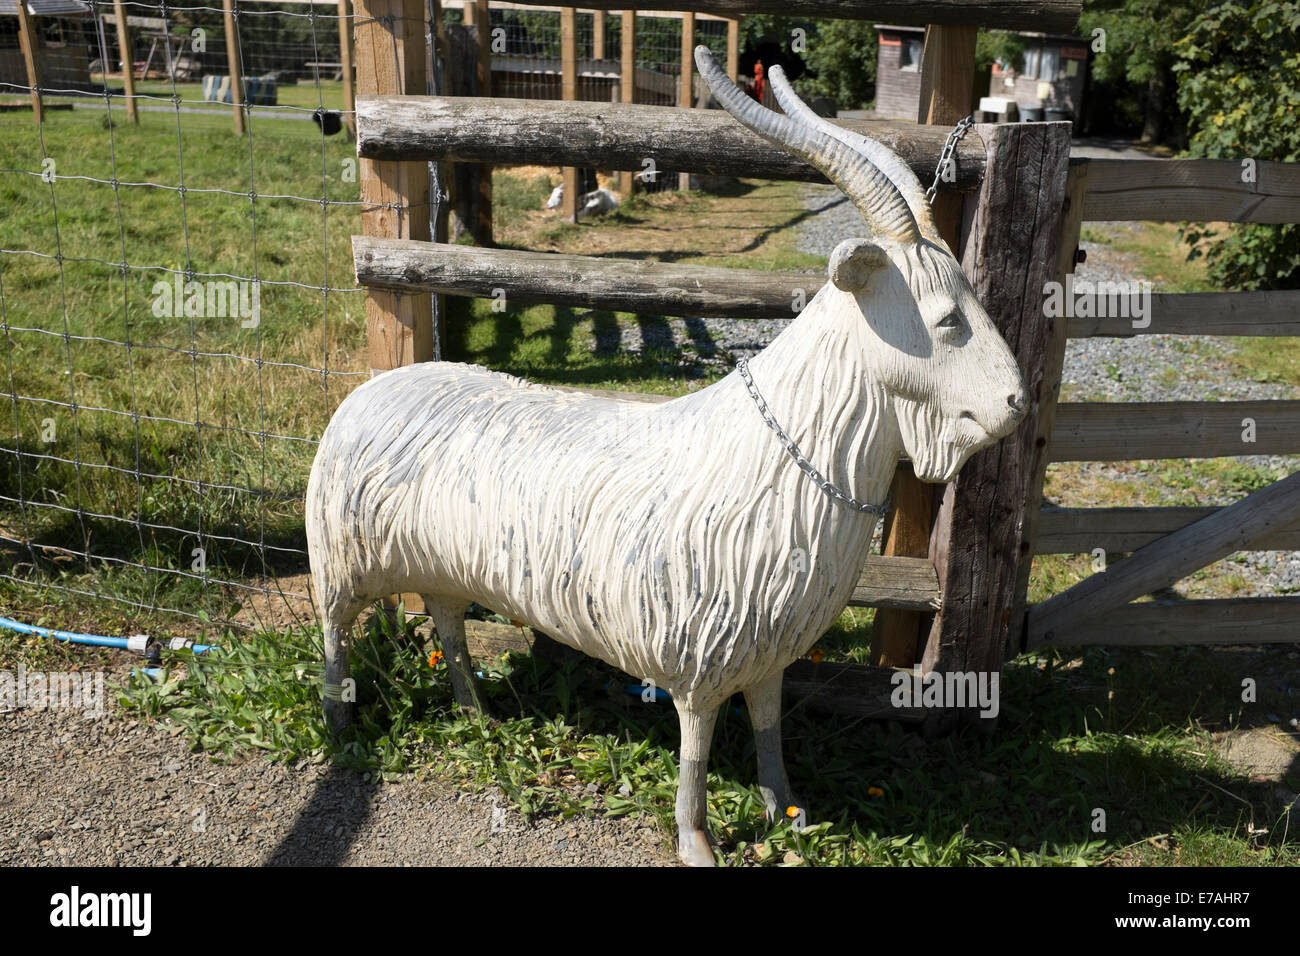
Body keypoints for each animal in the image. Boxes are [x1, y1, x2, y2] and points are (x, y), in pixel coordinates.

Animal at [307, 47, 1027, 866]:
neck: (784, 457)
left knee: (450, 625)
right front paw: (697, 842)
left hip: (440, 566)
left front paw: (789, 812)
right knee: (334, 633)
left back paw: (476, 713)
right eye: (945, 320)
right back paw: (341, 725)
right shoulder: (697, 657)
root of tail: (368, 392)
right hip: (342, 559)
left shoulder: (770, 652)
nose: (1015, 403)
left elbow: (770, 730)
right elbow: (694, 750)